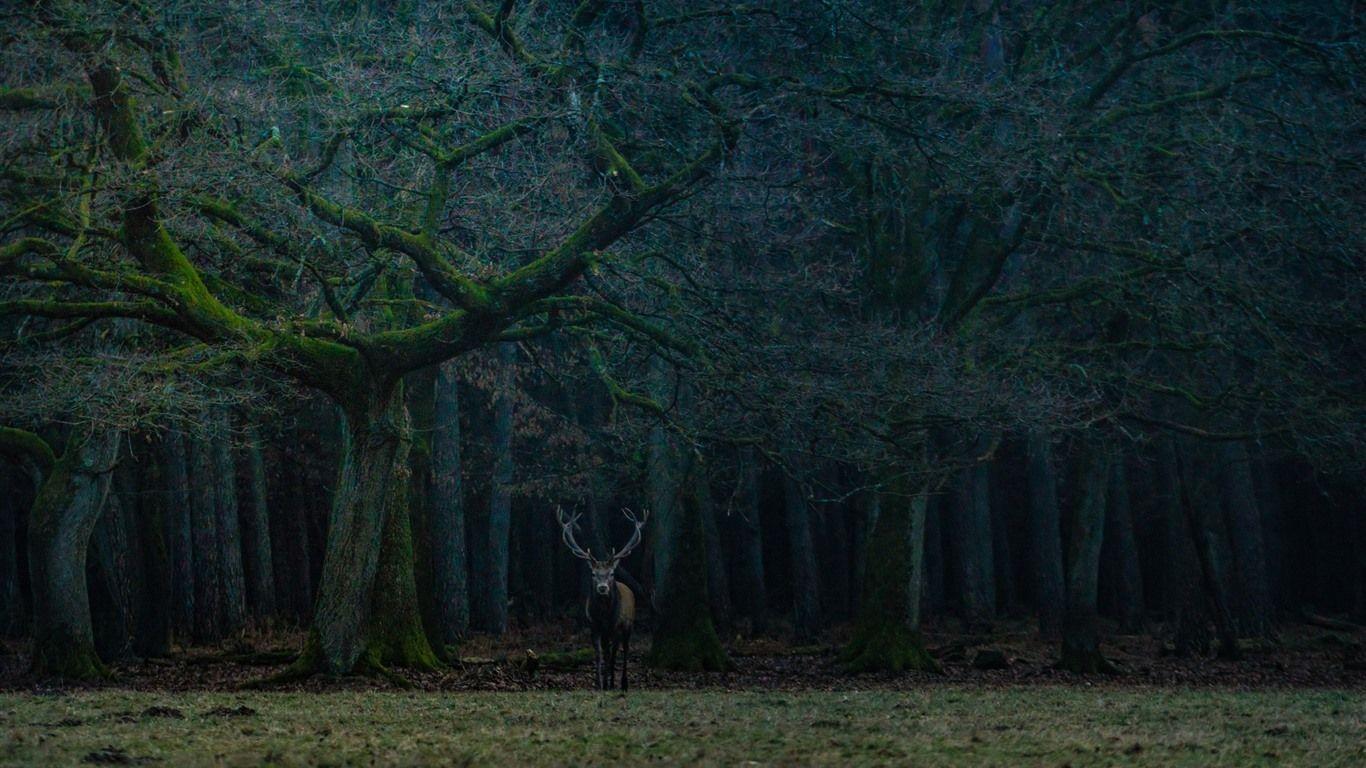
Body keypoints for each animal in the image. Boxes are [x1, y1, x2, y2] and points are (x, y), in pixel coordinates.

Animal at [557, 505, 648, 691]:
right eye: (593, 573)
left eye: (611, 573)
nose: (603, 588)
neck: (603, 616)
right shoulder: (594, 626)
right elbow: (599, 655)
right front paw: (599, 683)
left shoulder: (615, 626)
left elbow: (610, 655)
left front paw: (607, 683)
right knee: (612, 652)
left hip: (628, 625)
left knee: (624, 651)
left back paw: (623, 683)